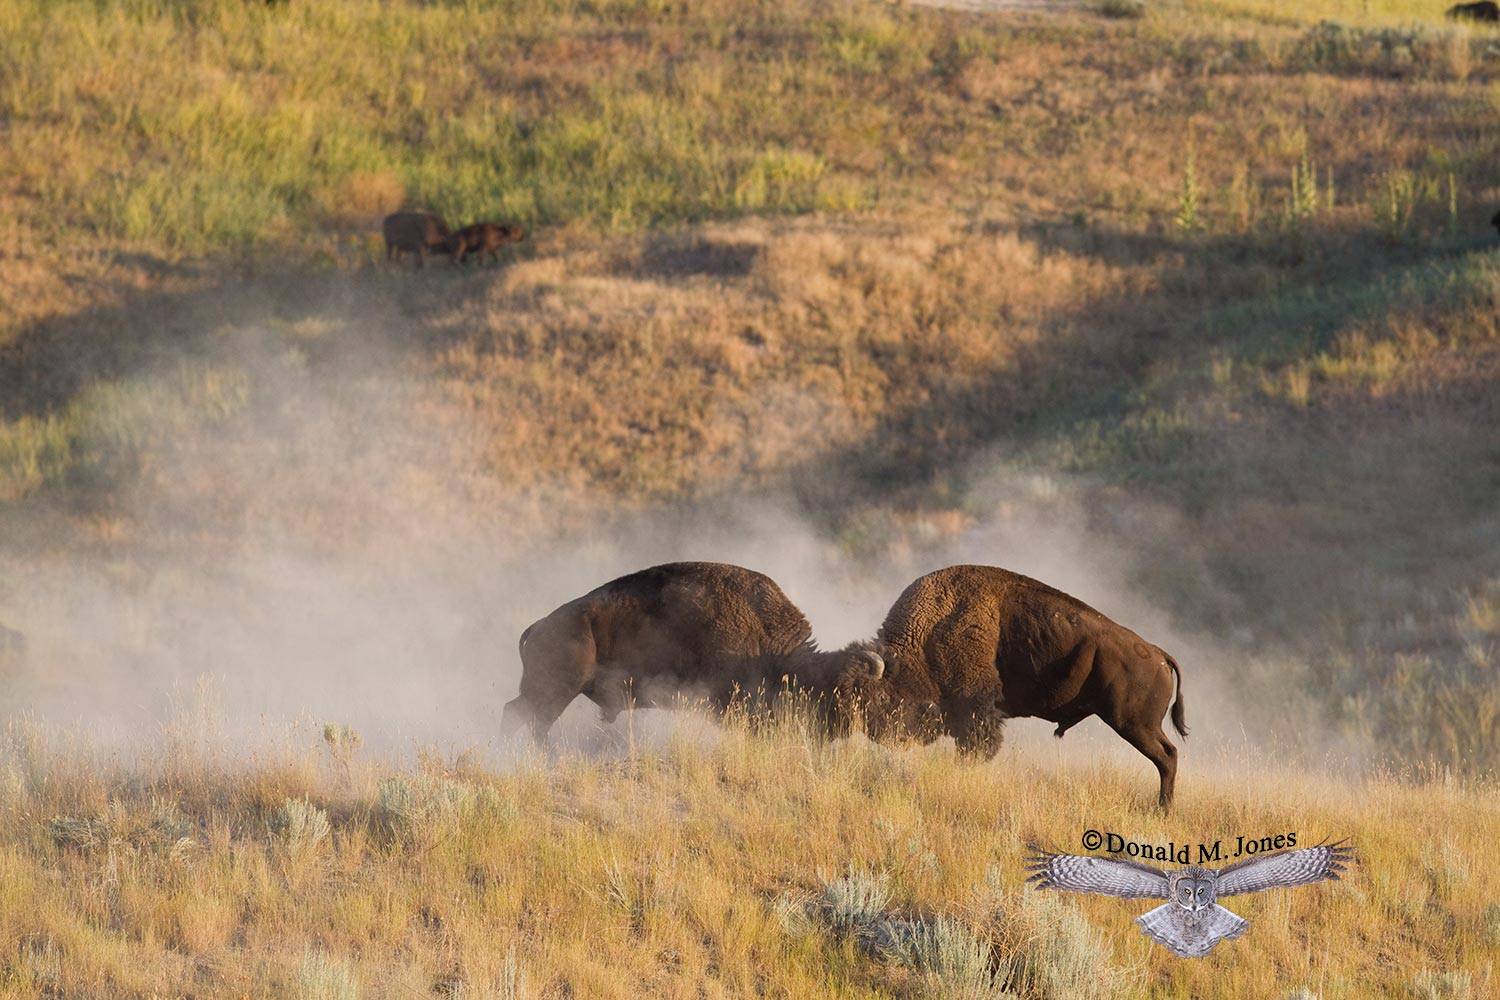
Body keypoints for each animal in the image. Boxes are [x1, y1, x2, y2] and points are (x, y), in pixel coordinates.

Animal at [856, 565, 1188, 809]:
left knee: (1167, 756)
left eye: (883, 697)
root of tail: (1159, 654)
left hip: (1133, 724)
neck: (929, 635)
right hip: (1138, 725)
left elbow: (976, 747)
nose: (878, 735)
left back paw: (1163, 809)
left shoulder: (976, 711)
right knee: (1167, 756)